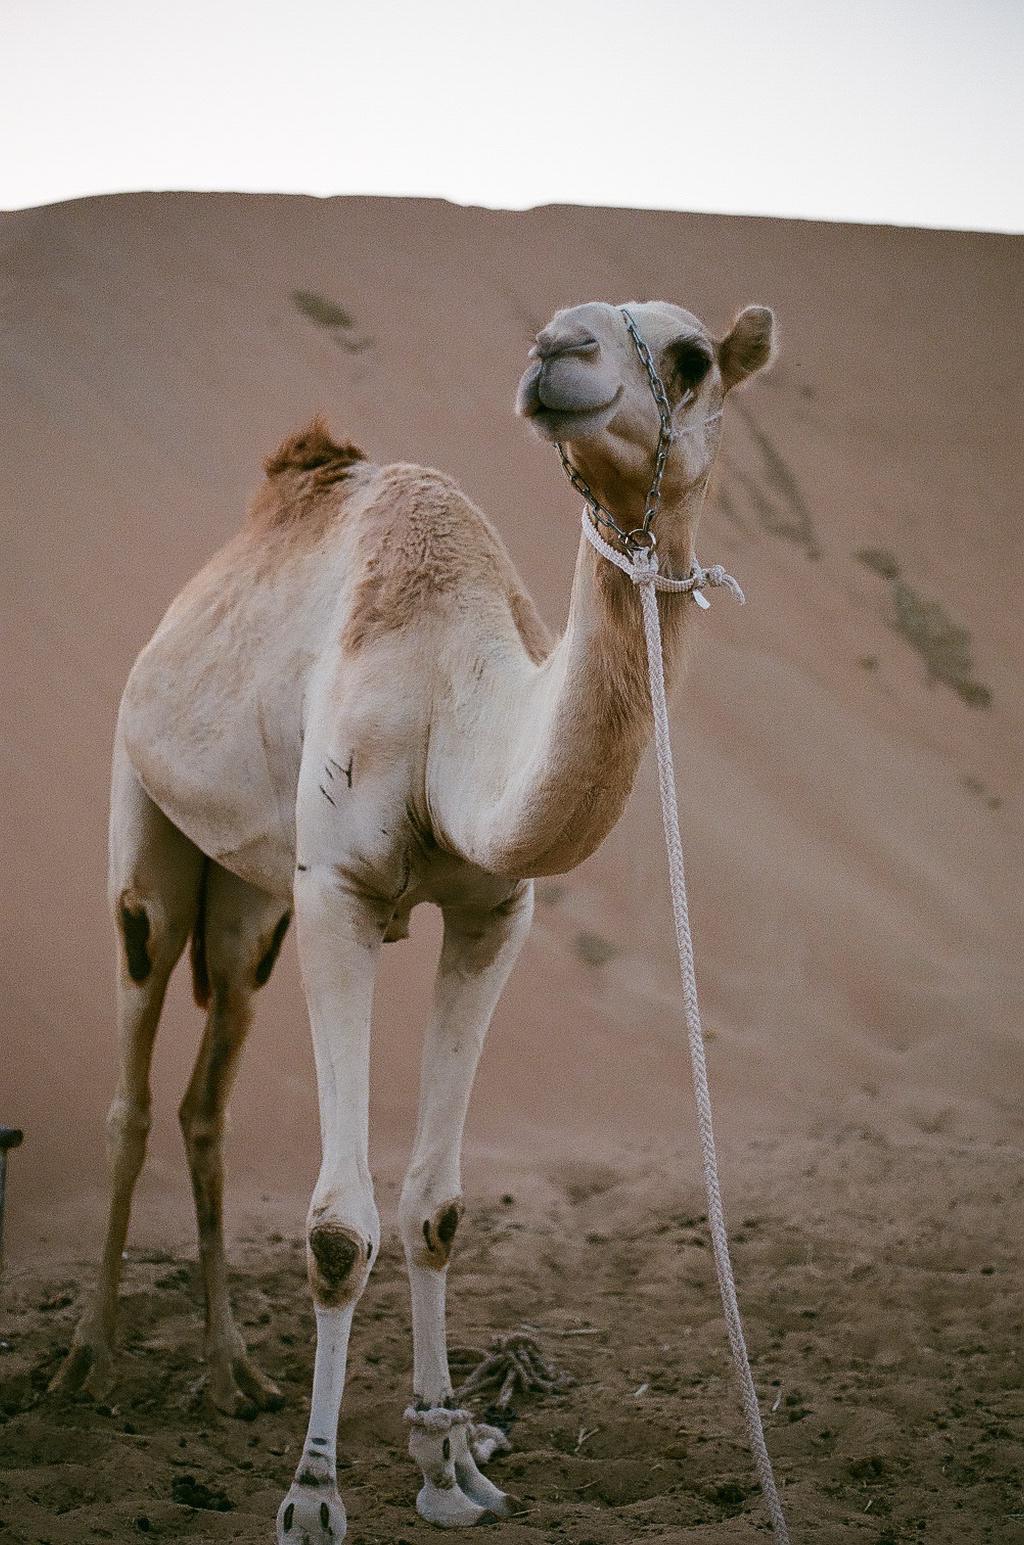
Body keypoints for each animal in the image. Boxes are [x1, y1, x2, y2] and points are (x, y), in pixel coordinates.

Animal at [51, 296, 775, 1540]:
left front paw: (449, 1463)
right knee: (131, 1089)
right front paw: (313, 1495)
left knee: (205, 1099)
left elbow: (436, 1208)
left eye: (689, 358)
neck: (453, 696)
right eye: (570, 331)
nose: (555, 351)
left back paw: (233, 1372)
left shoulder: (493, 912)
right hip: (145, 838)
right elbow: (342, 1229)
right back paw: (90, 1362)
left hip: (249, 908)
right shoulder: (337, 893)